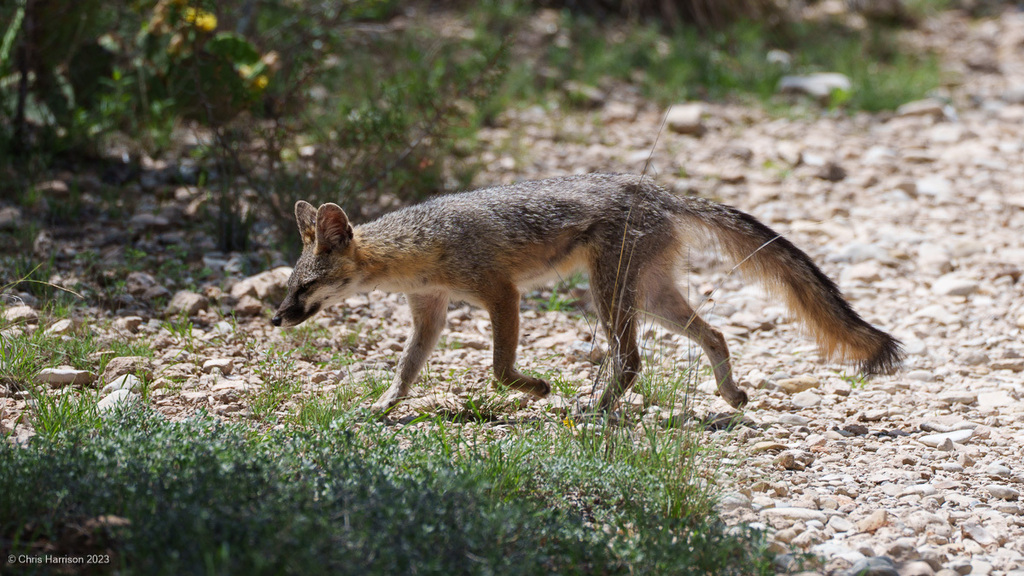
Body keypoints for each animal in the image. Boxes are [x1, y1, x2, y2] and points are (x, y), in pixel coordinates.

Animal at [272, 173, 903, 413]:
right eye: (287, 288)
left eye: (305, 287)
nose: (277, 319)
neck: (417, 247)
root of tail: (662, 191)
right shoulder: (430, 312)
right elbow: (406, 369)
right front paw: (384, 405)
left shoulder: (501, 293)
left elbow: (500, 369)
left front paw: (536, 387)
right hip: (648, 296)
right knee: (715, 335)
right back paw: (730, 393)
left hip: (611, 296)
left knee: (634, 360)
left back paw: (597, 409)